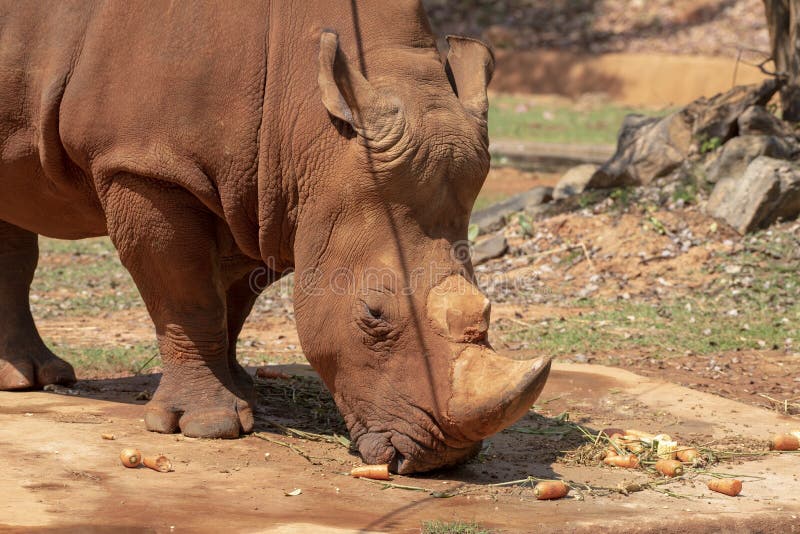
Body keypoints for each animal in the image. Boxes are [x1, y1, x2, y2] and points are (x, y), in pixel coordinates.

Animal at [0, 0, 551, 473]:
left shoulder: (263, 190)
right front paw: (208, 426)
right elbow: (186, 296)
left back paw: (32, 379)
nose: (443, 458)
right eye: (373, 314)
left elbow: (233, 302)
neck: (313, 125)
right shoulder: (144, 164)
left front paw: (245, 394)